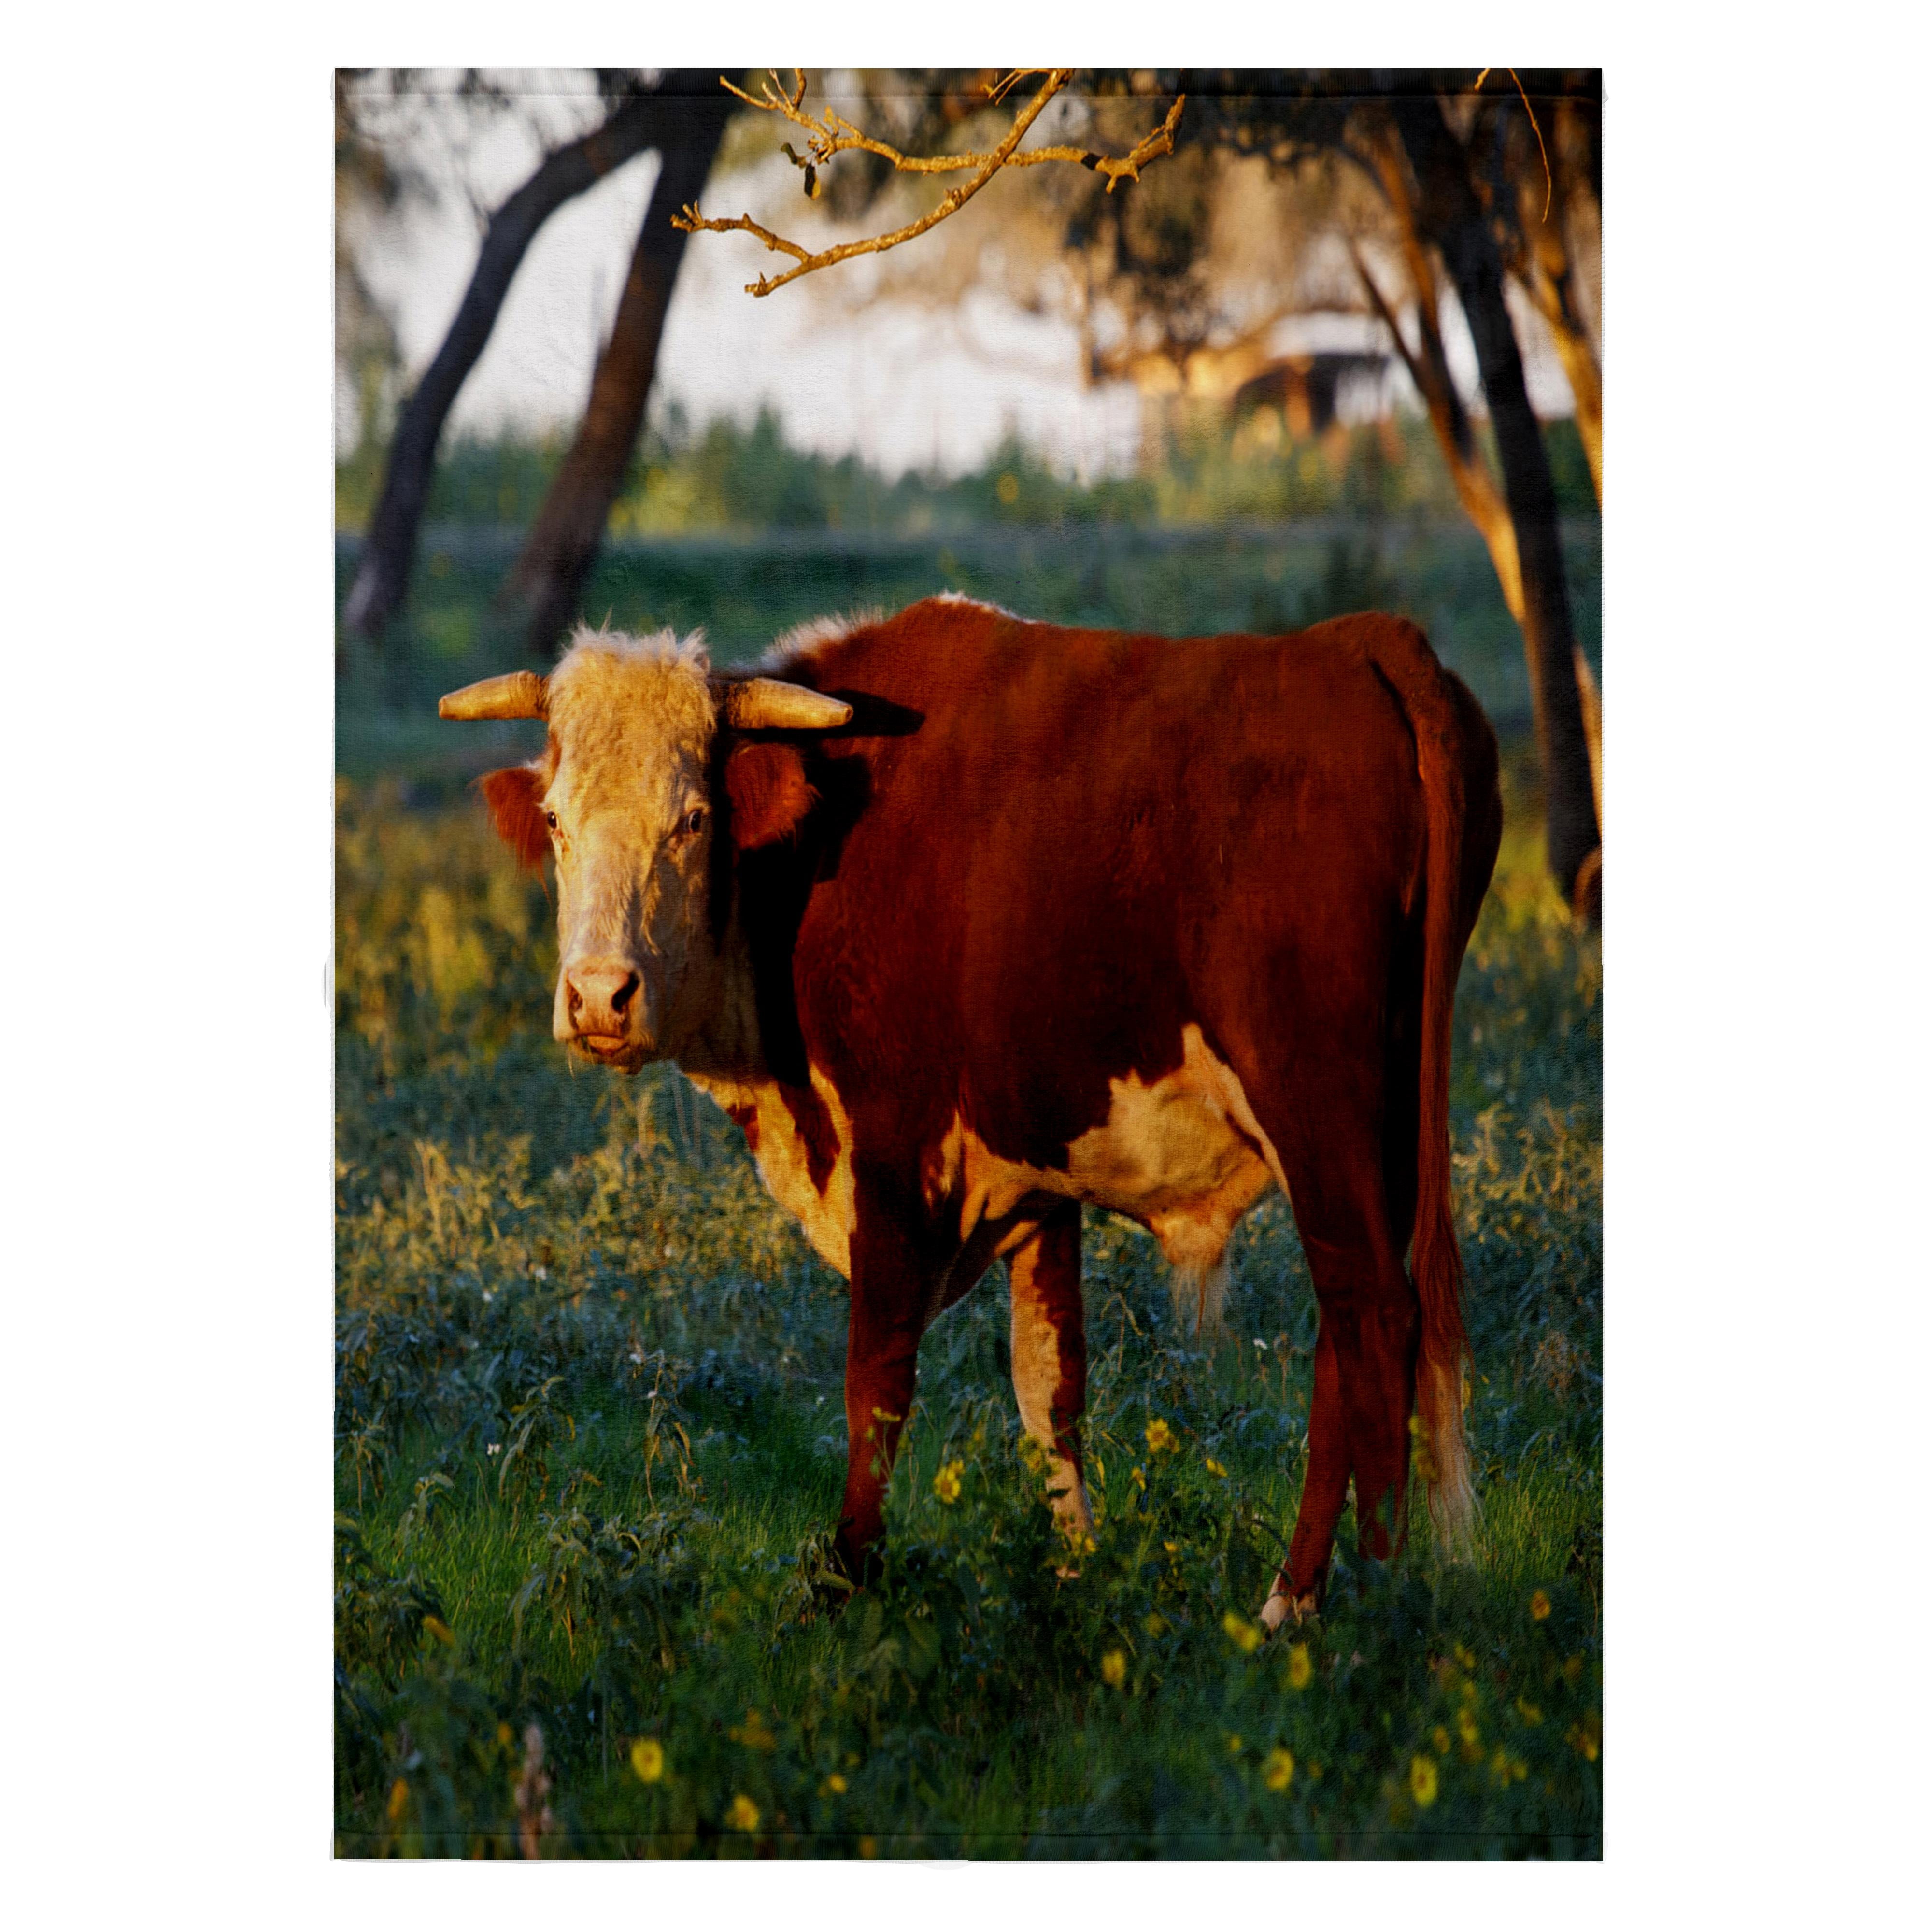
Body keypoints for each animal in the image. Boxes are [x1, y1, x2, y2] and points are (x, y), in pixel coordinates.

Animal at [440, 595, 1501, 1627]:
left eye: (693, 819)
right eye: (555, 817)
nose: (598, 998)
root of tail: (1361, 641)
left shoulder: (894, 1145)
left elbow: (876, 1379)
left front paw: (845, 1579)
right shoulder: (1032, 1170)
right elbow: (1049, 1381)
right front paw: (1073, 1570)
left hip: (1317, 1103)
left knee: (1371, 1313)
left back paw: (1335, 1597)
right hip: (1386, 1121)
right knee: (1348, 1333)